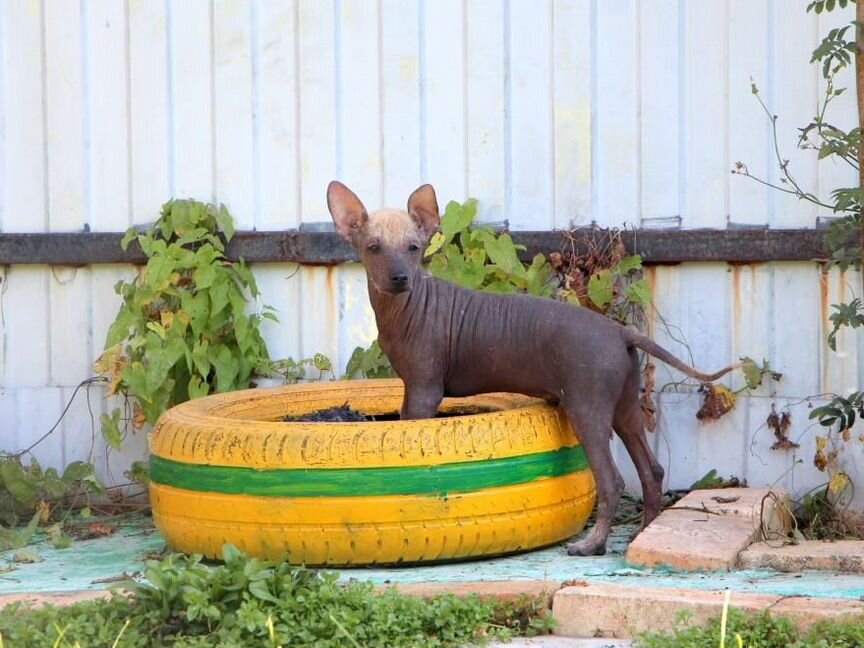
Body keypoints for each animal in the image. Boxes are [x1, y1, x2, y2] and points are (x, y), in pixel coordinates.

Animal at [328, 182, 732, 556]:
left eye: (413, 248)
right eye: (373, 247)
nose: (399, 278)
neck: (402, 309)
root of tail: (620, 331)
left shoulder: (424, 393)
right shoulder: (410, 392)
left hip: (587, 406)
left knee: (613, 480)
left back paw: (593, 545)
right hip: (625, 406)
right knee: (652, 470)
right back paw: (644, 533)